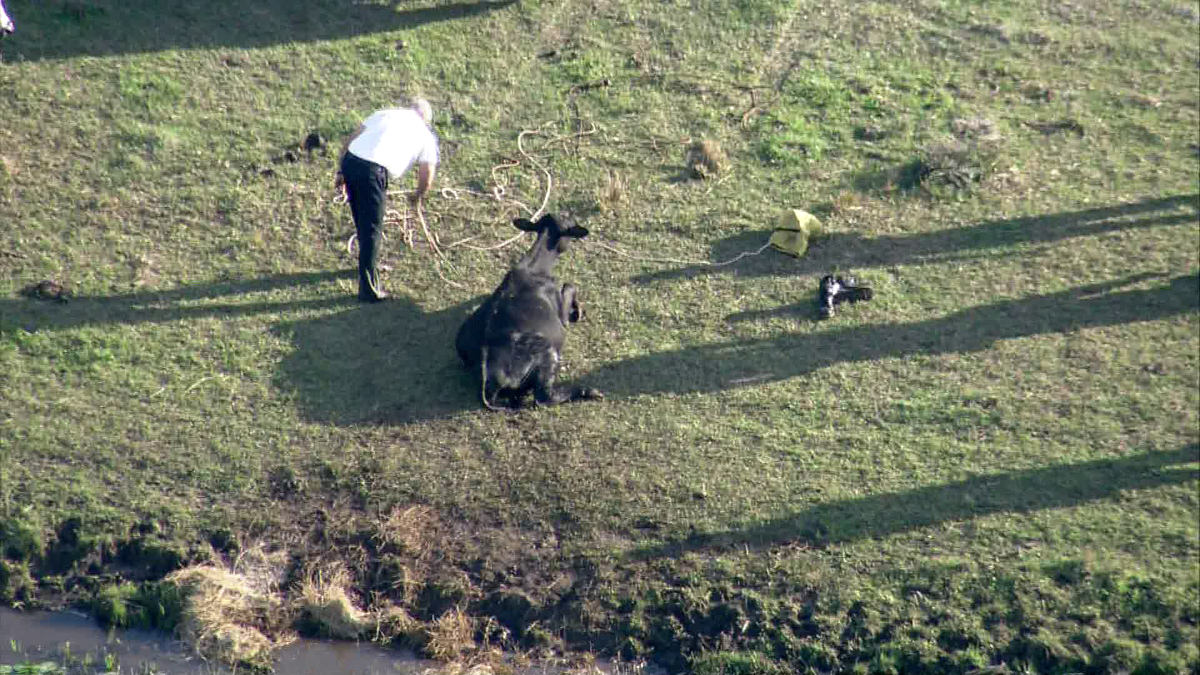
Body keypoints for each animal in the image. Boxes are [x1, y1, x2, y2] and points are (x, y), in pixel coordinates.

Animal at [455, 213, 604, 410]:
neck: (534, 268)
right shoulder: (561, 313)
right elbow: (569, 285)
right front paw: (578, 311)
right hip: (547, 356)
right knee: (543, 397)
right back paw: (590, 391)